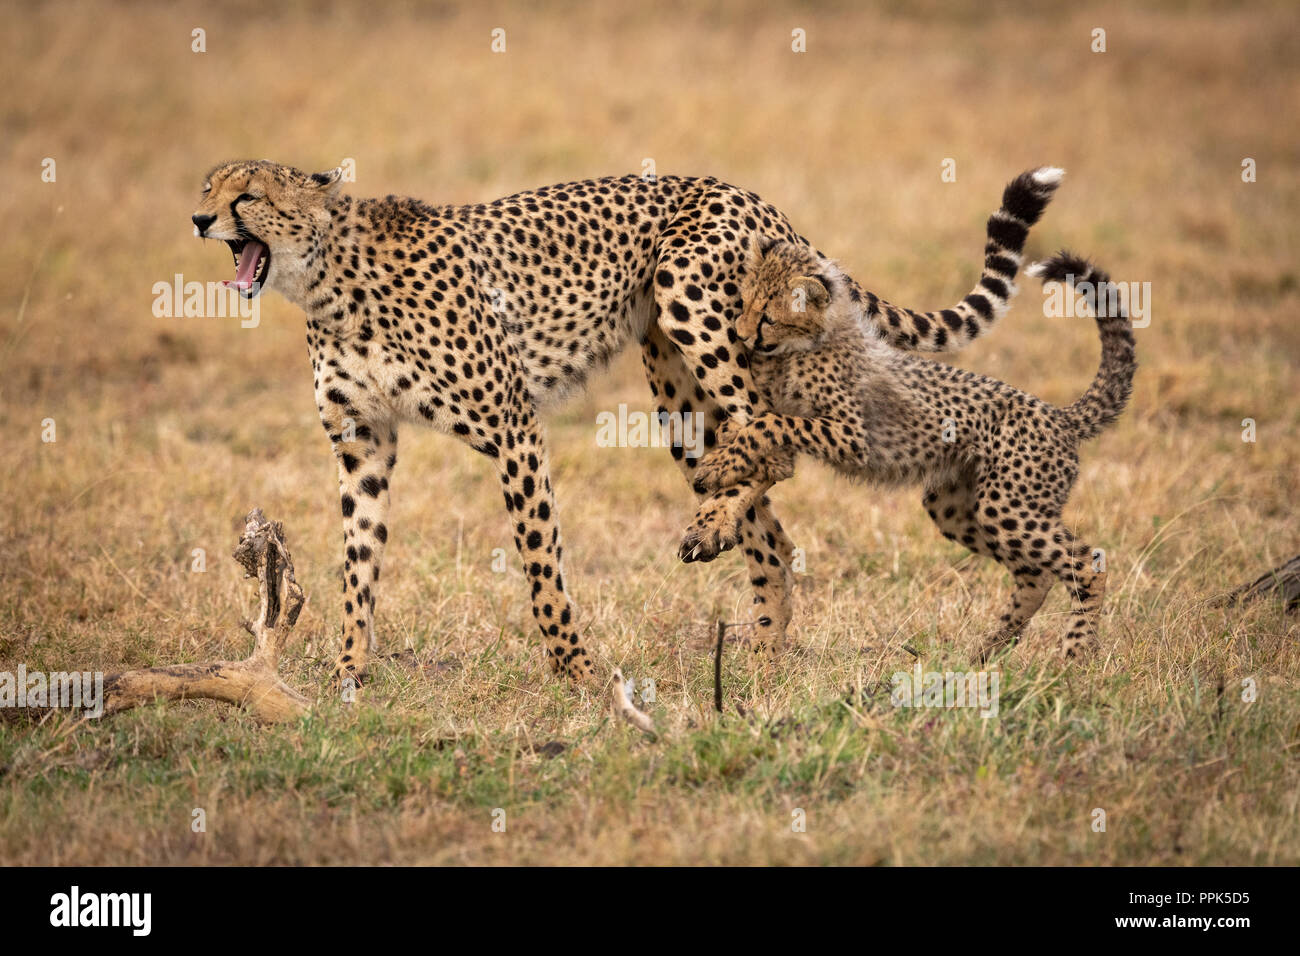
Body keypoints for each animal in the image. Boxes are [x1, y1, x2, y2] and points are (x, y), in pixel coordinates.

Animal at [190, 160, 1036, 688]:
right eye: (207, 185)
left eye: (249, 194)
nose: (199, 218)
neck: (328, 281)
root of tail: (745, 191)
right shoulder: (362, 443)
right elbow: (357, 564)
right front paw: (348, 676)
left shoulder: (512, 426)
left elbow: (540, 566)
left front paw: (580, 675)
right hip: (678, 396)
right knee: (765, 510)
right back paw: (761, 650)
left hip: (696, 308)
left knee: (772, 441)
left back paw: (719, 550)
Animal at [690, 238, 1137, 661]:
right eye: (744, 303)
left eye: (769, 316)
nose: (741, 335)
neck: (812, 341)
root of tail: (1059, 416)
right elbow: (753, 422)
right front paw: (727, 447)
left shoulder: (852, 435)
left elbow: (772, 423)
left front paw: (719, 464)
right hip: (958, 508)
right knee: (1036, 574)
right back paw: (988, 649)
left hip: (1008, 506)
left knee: (1088, 562)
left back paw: (1074, 654)